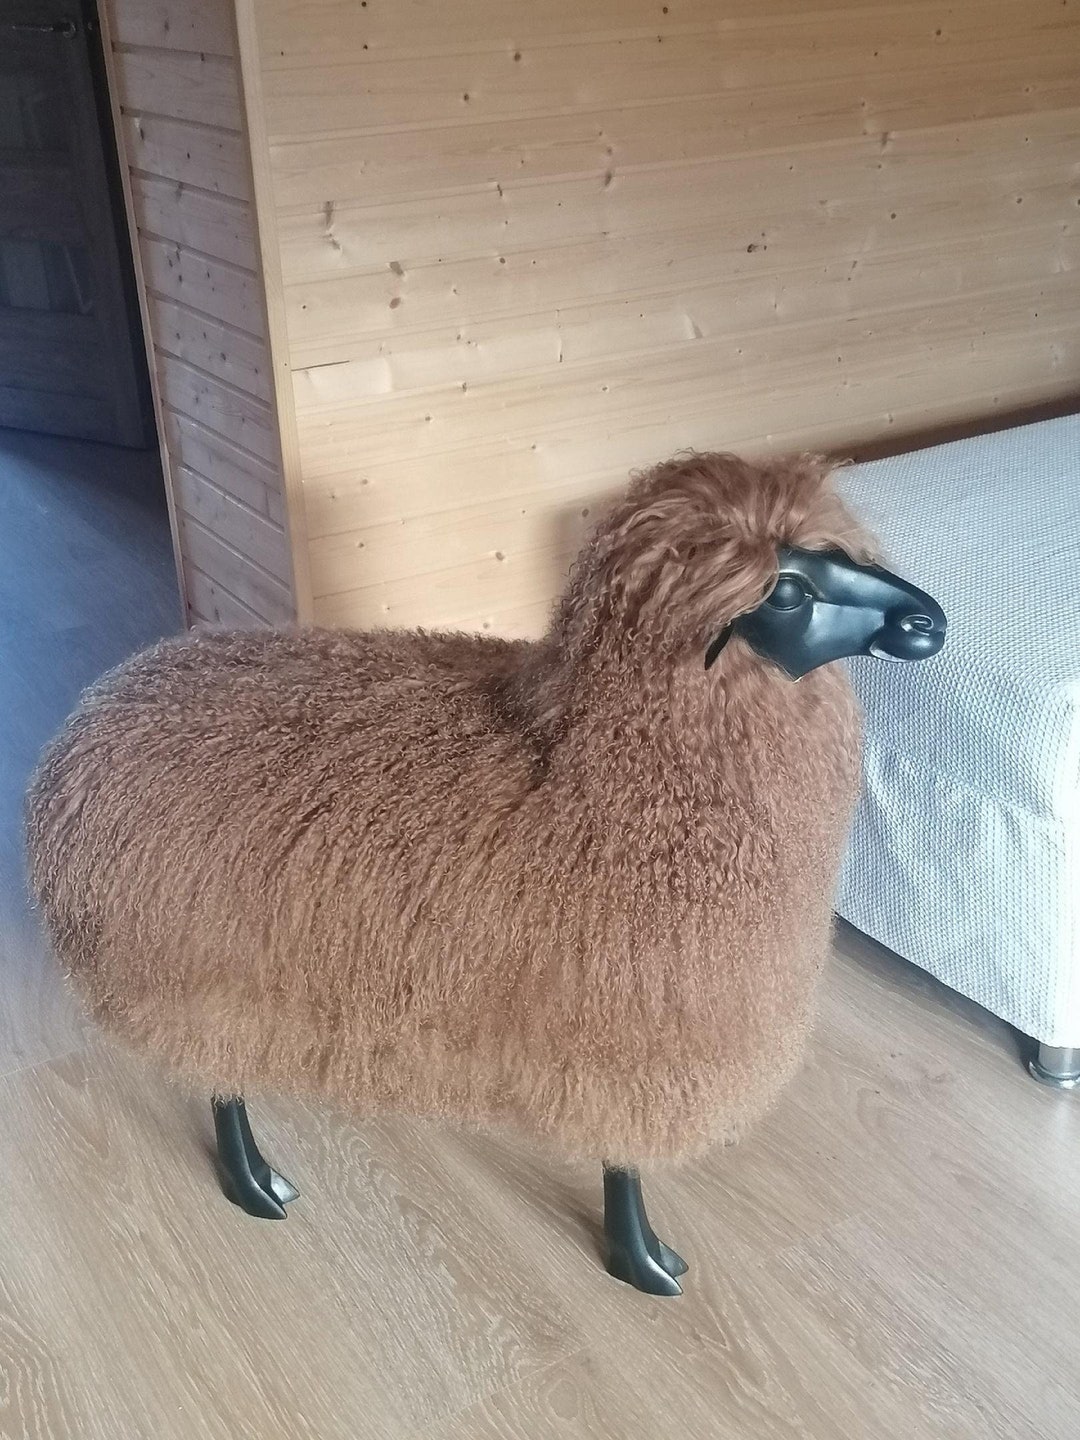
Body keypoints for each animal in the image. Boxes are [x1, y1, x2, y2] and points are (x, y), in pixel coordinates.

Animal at [25, 451, 945, 1295]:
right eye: (786, 592)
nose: (930, 621)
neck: (601, 766)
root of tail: (88, 721)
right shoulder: (625, 1037)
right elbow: (623, 1164)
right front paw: (641, 1261)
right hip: (193, 970)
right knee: (217, 1086)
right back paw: (255, 1185)